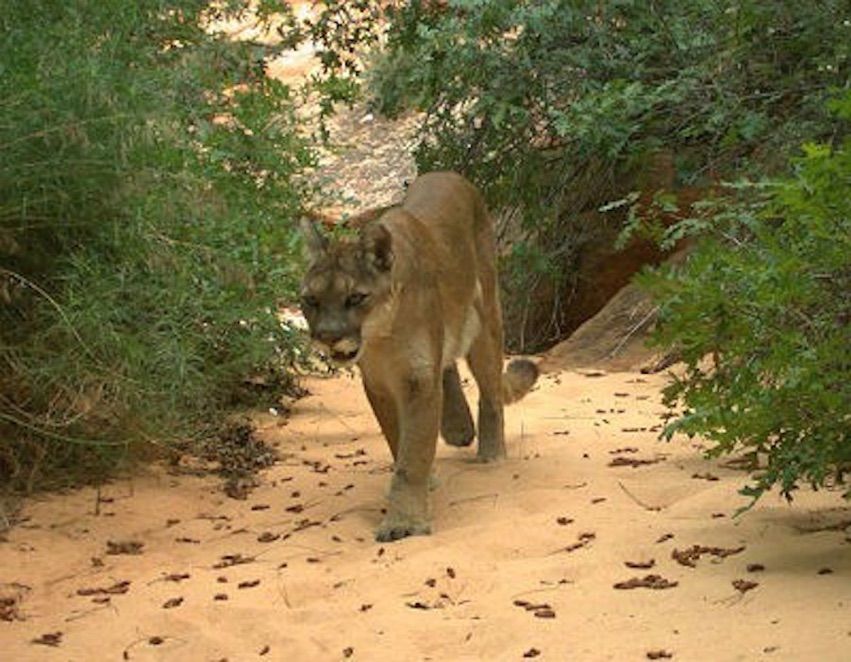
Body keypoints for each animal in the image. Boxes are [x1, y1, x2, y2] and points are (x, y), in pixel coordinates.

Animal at [299, 171, 538, 542]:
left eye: (355, 298)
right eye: (311, 300)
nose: (327, 336)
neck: (384, 337)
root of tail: (450, 175)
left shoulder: (417, 379)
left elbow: (413, 453)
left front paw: (404, 522)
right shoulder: (379, 384)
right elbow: (399, 440)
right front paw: (424, 487)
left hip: (485, 322)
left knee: (491, 393)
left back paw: (491, 453)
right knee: (449, 365)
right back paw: (457, 426)